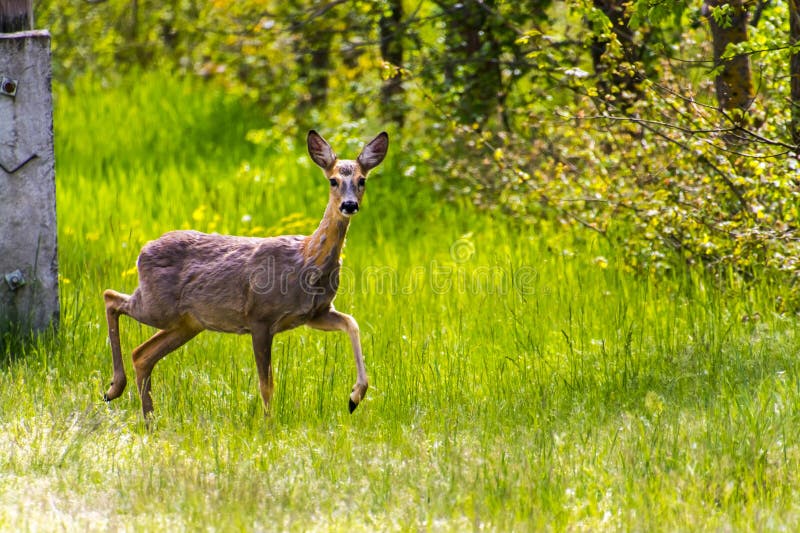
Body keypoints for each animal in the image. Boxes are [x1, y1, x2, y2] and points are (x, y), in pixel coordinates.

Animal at [102, 130, 389, 419]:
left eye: (362, 180)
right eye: (333, 180)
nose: (349, 205)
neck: (306, 260)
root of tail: (143, 251)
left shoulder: (315, 313)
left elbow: (351, 322)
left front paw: (355, 396)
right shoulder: (260, 317)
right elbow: (266, 385)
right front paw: (268, 425)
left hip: (187, 323)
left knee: (142, 354)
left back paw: (147, 417)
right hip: (158, 306)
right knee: (111, 298)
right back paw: (114, 389)